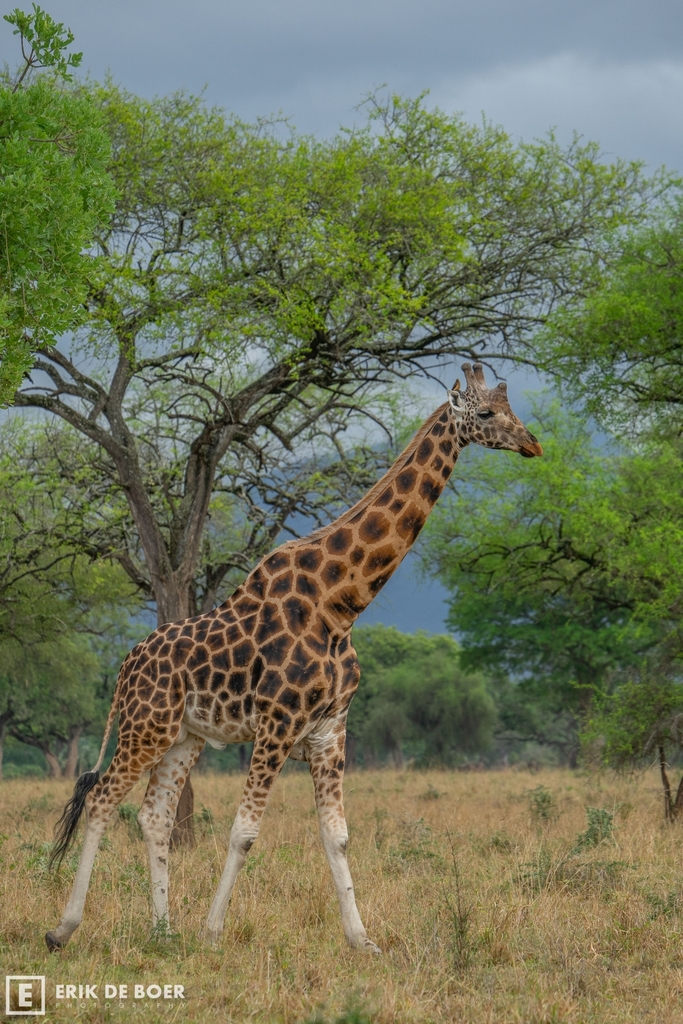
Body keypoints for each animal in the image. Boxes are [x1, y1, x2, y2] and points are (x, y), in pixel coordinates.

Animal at [46, 361, 542, 954]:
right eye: (487, 412)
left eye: (511, 408)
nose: (532, 443)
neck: (340, 605)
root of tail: (124, 667)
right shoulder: (278, 724)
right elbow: (244, 833)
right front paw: (213, 932)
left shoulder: (329, 730)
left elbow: (338, 836)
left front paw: (362, 940)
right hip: (146, 726)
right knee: (101, 800)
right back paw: (63, 928)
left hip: (183, 736)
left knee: (154, 816)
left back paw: (163, 932)